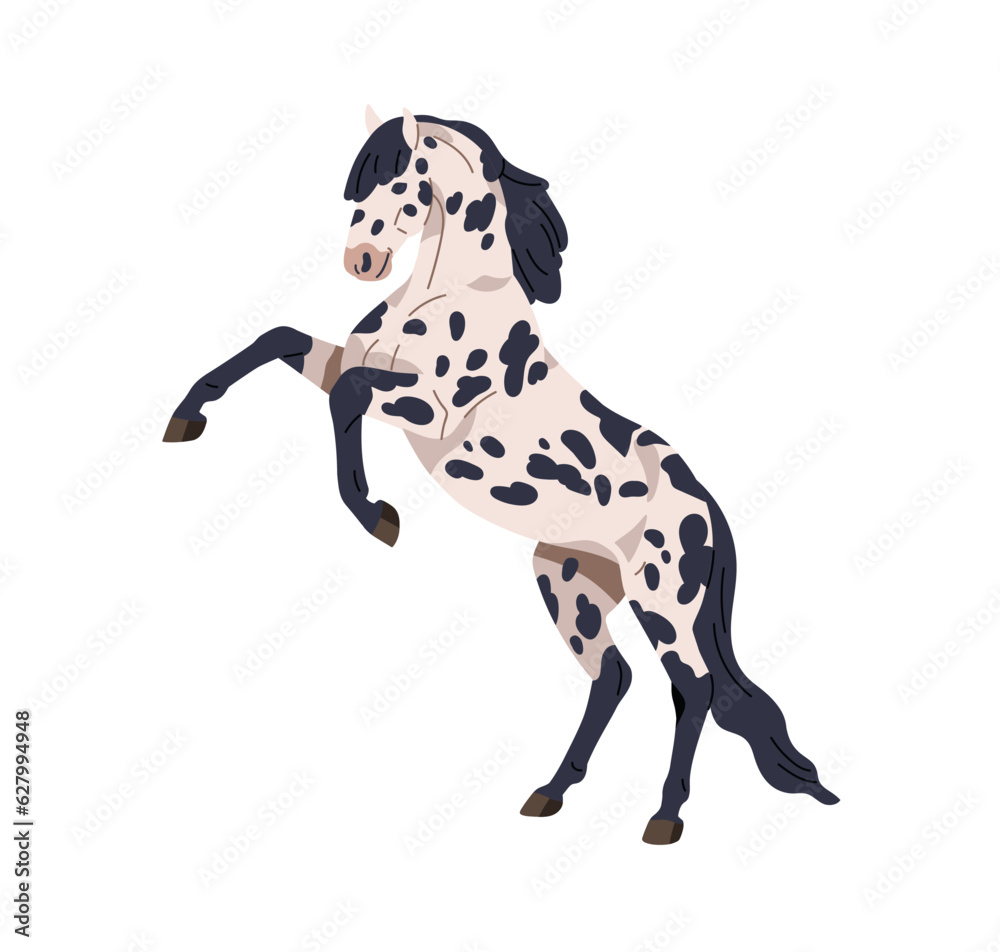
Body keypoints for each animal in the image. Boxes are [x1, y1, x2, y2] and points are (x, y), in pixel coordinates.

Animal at [163, 107, 838, 844]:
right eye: (357, 186)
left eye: (398, 183)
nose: (361, 262)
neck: (444, 297)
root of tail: (706, 511)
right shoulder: (347, 365)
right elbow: (279, 340)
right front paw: (187, 417)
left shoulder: (428, 411)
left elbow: (348, 398)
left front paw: (376, 516)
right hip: (570, 584)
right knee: (614, 678)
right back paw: (550, 793)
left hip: (666, 603)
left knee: (693, 690)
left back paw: (663, 817)